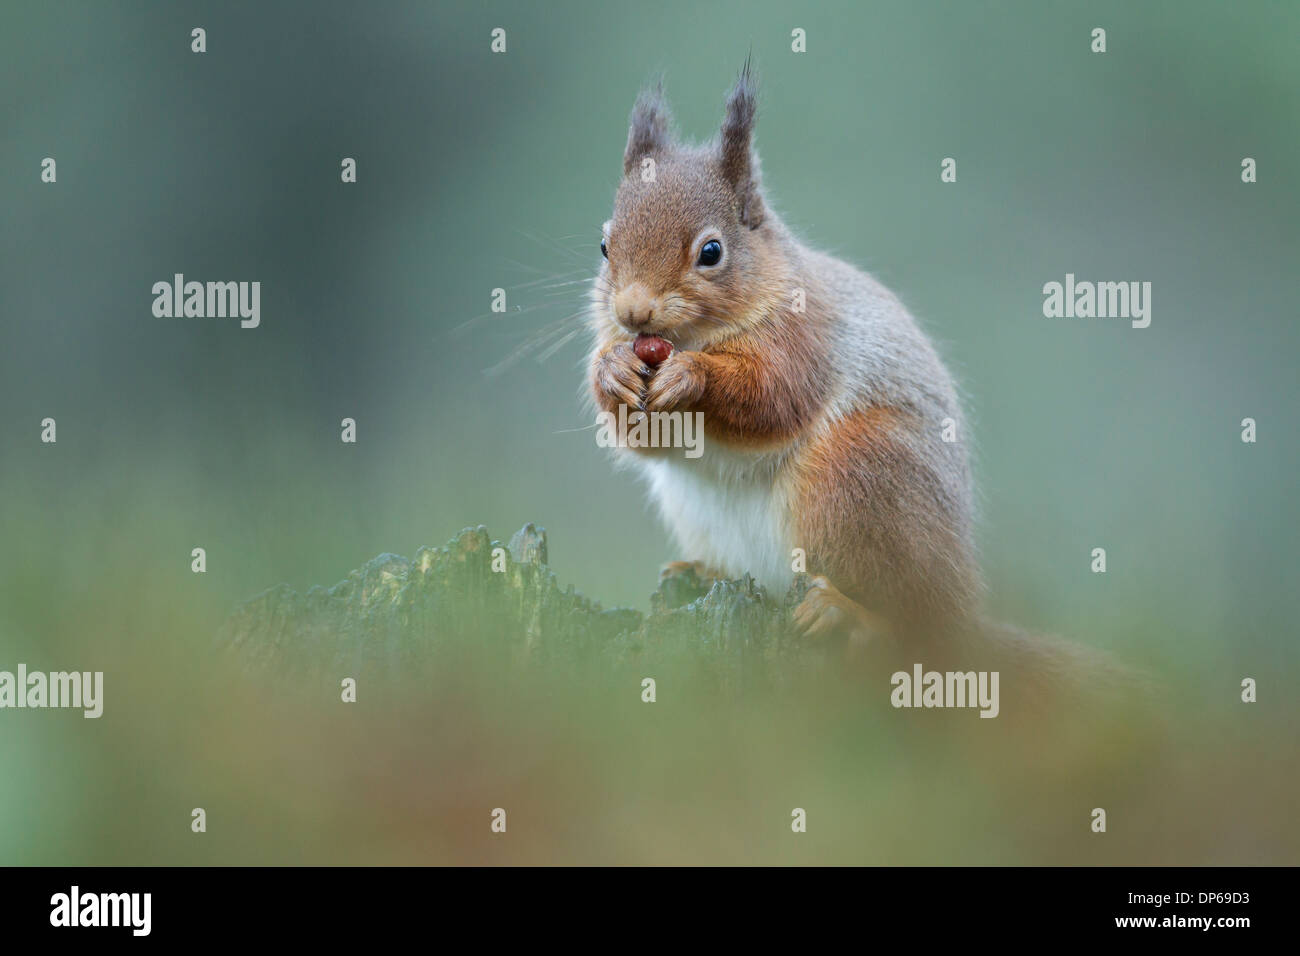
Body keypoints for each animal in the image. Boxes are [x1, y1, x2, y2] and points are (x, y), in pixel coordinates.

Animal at [587, 65, 1147, 716]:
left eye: (711, 251)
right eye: (605, 245)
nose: (633, 312)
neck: (695, 336)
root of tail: (963, 623)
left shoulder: (807, 337)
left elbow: (772, 397)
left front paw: (690, 376)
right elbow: (641, 436)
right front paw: (612, 372)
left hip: (858, 477)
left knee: (903, 624)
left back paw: (850, 614)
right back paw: (702, 573)